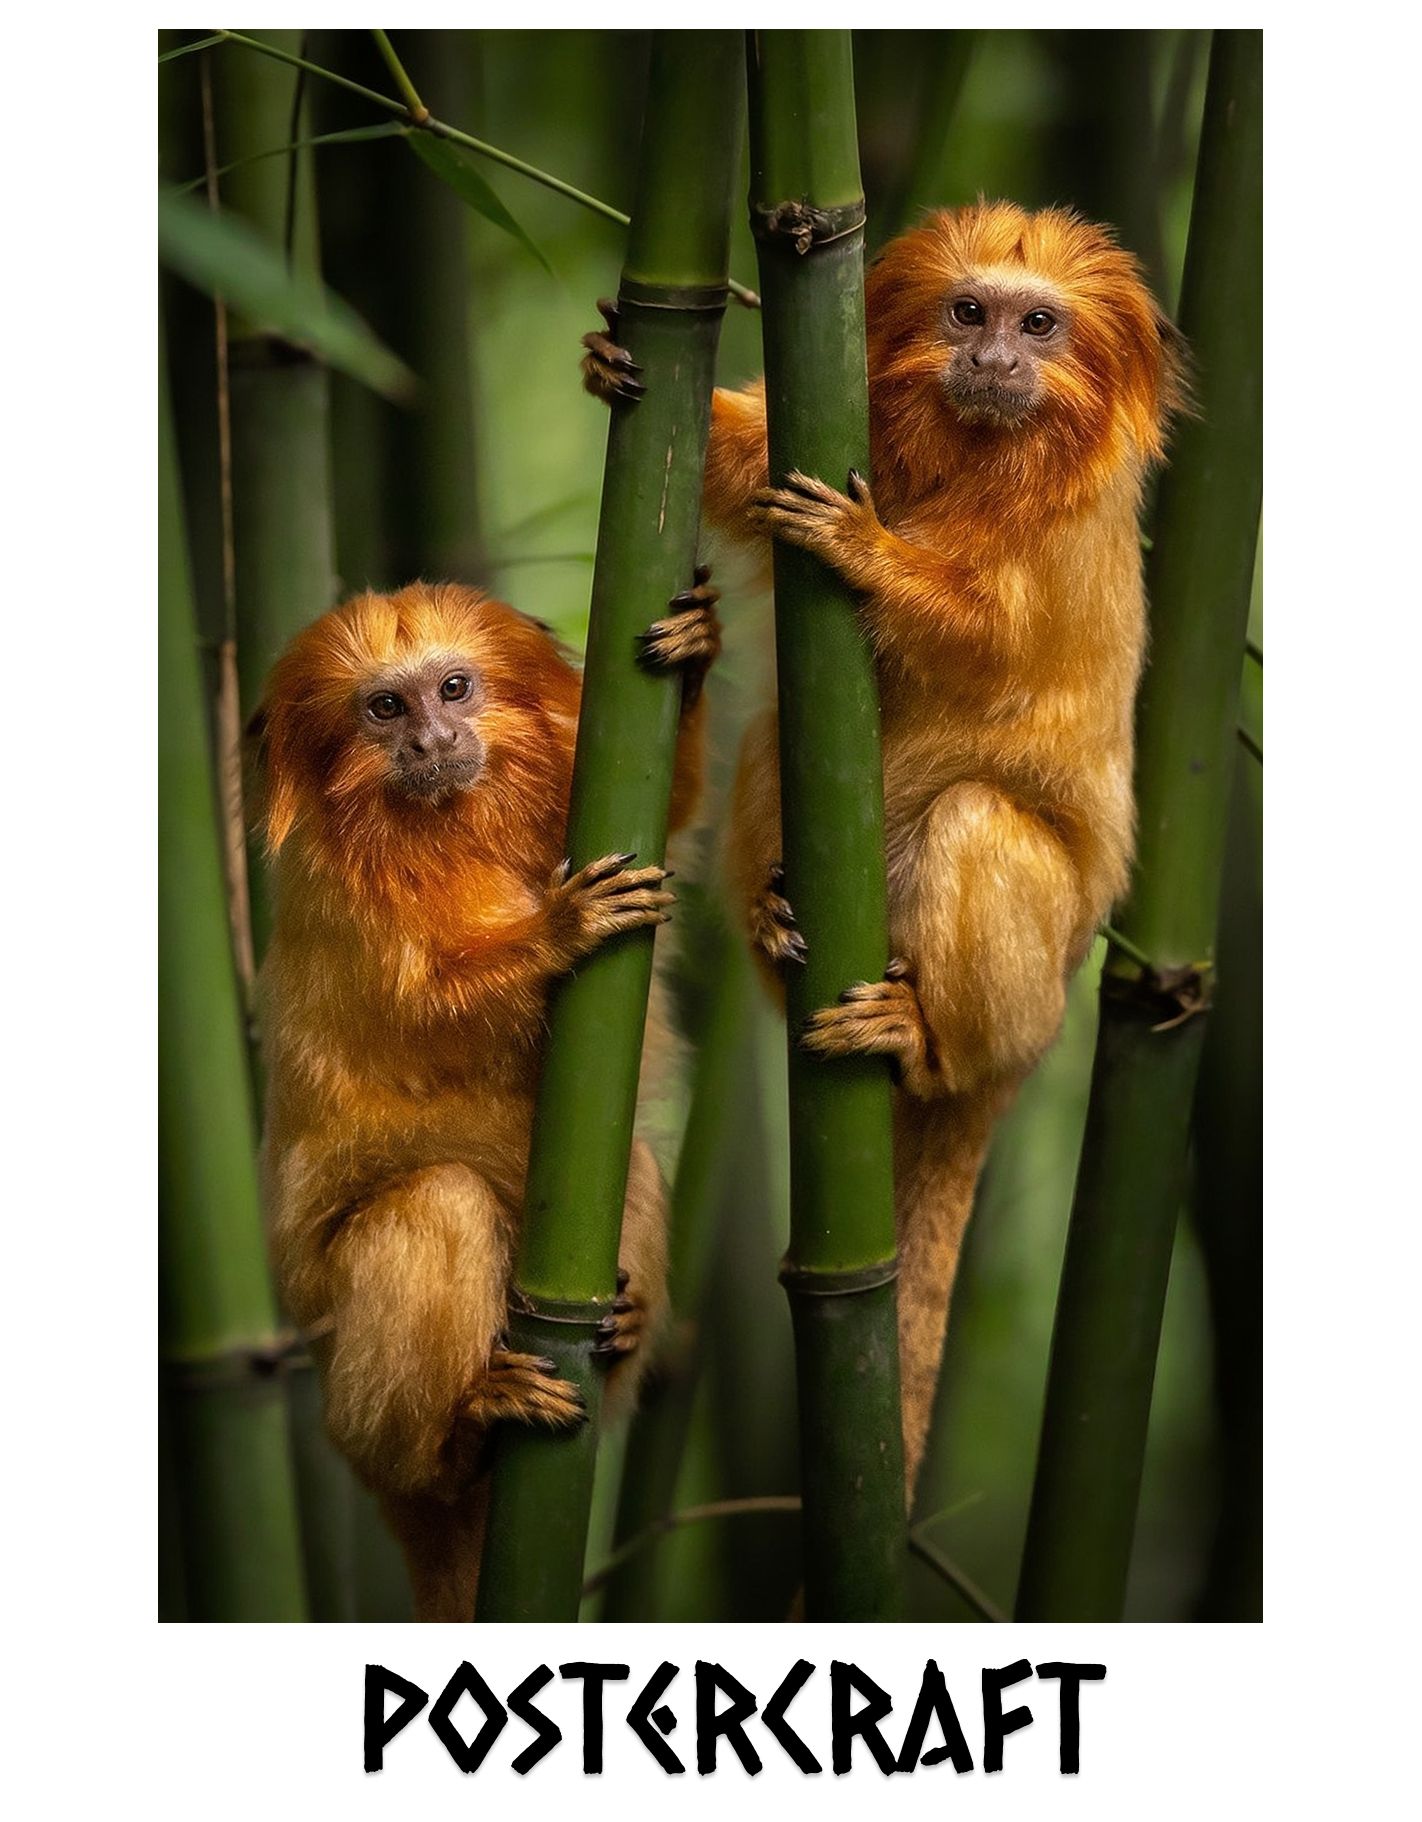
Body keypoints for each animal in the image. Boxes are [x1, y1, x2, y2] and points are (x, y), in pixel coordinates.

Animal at [249, 576, 720, 1618]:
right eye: (387, 708)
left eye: (455, 688)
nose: (432, 741)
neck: (444, 823)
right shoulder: (343, 908)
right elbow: (433, 1017)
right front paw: (556, 934)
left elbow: (666, 811)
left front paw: (696, 652)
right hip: (344, 1377)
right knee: (438, 1205)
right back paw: (457, 1437)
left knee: (630, 1159)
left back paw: (617, 1334)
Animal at [583, 200, 1185, 1499]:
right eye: (967, 311)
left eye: (1038, 324)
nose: (993, 358)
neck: (983, 455)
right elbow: (754, 460)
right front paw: (620, 362)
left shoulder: (1058, 553)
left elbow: (985, 636)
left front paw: (867, 554)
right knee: (774, 737)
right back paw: (775, 917)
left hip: (1032, 987)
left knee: (977, 822)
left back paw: (926, 1039)